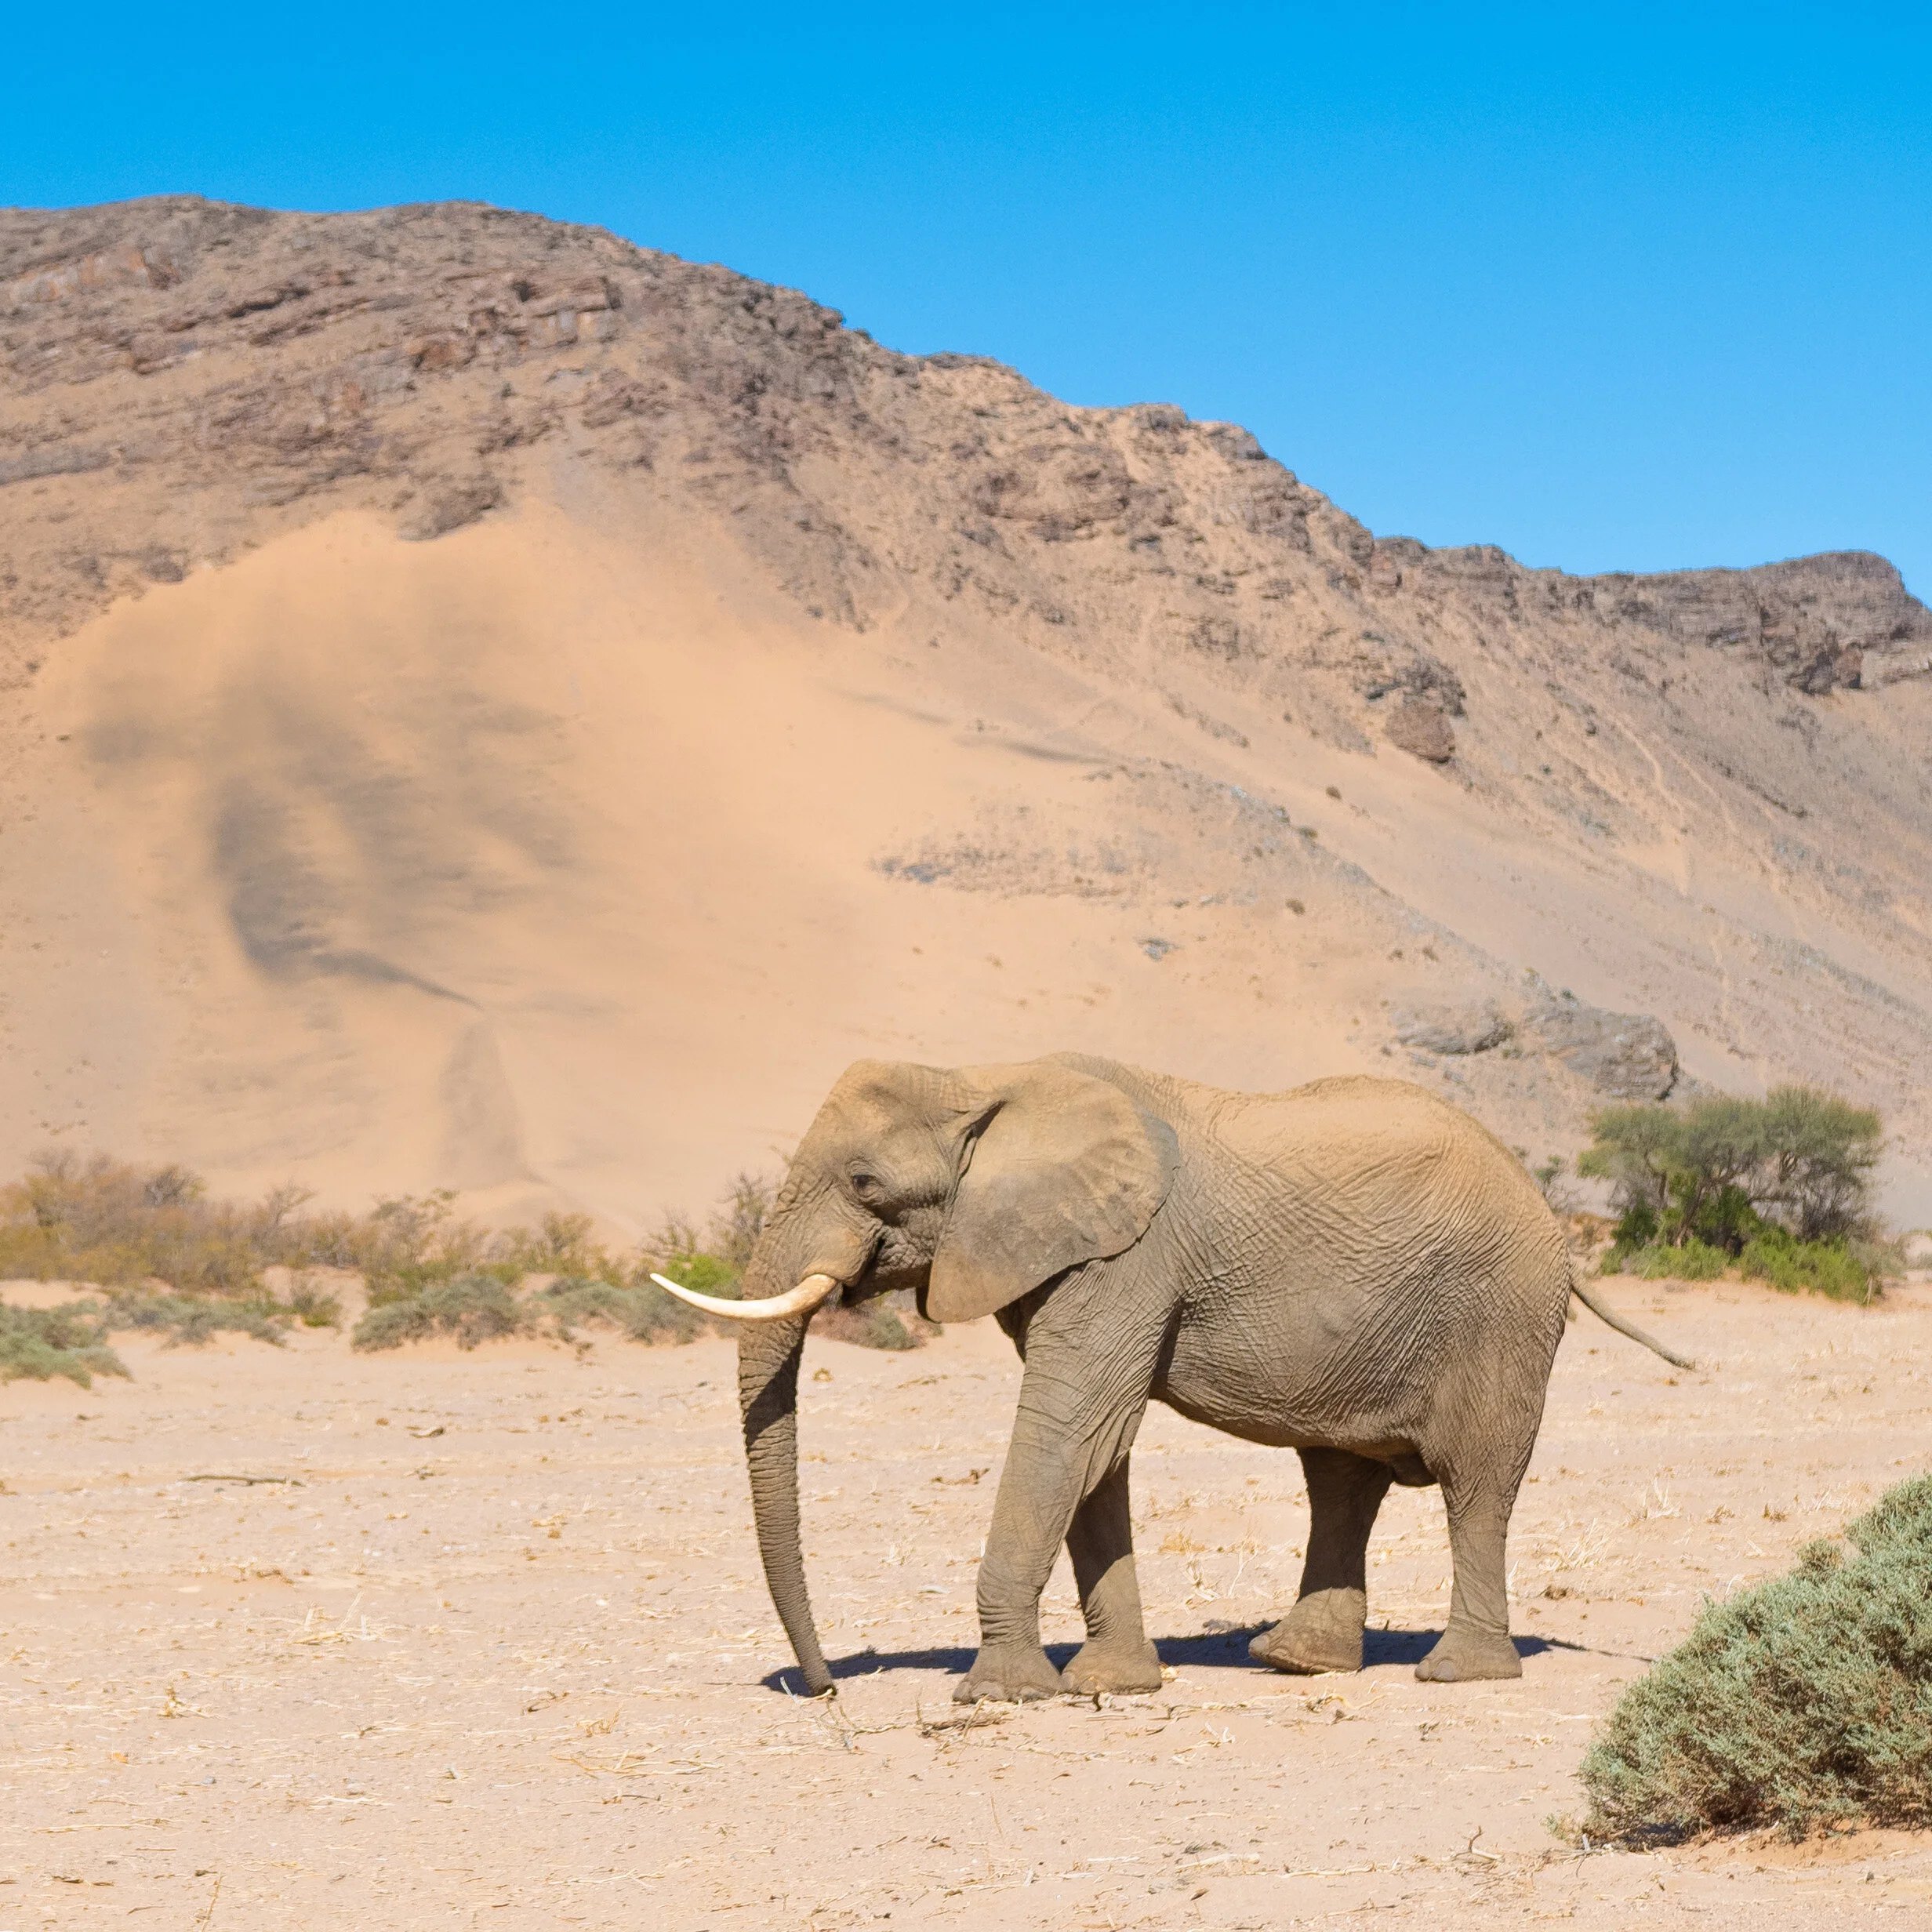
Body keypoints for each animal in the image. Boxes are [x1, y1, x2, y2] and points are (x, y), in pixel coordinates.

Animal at [653, 1053, 1687, 1703]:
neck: (981, 1080)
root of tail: (1547, 1209)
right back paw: (1295, 1662)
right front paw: (1109, 1686)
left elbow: (1069, 1431)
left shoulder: (1126, 1257)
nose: (824, 1688)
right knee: (1341, 1479)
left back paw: (1452, 1673)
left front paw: (996, 1695)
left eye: (865, 1183)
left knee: (1475, 1482)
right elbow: (1096, 1450)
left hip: (1497, 1313)